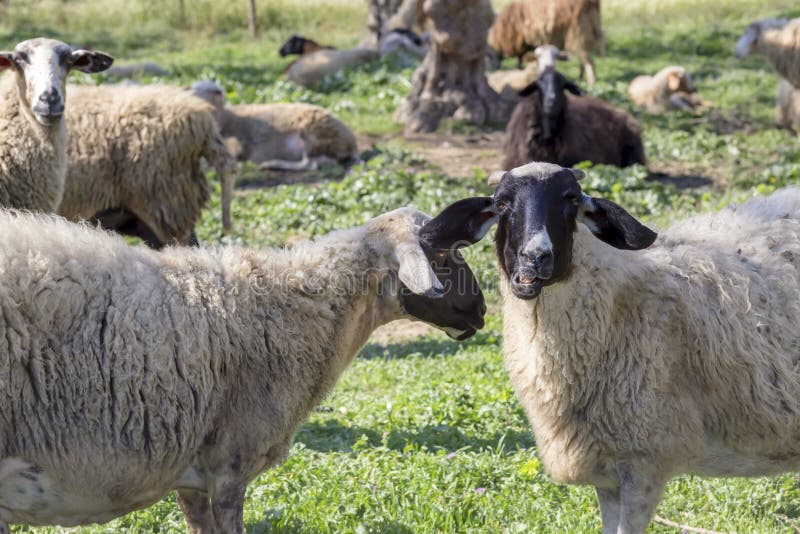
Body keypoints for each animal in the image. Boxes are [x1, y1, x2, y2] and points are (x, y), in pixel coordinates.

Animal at [191, 80, 358, 172]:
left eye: (197, 90)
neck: (226, 117)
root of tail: (352, 144)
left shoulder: (233, 149)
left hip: (312, 132)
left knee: (309, 164)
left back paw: (270, 164)